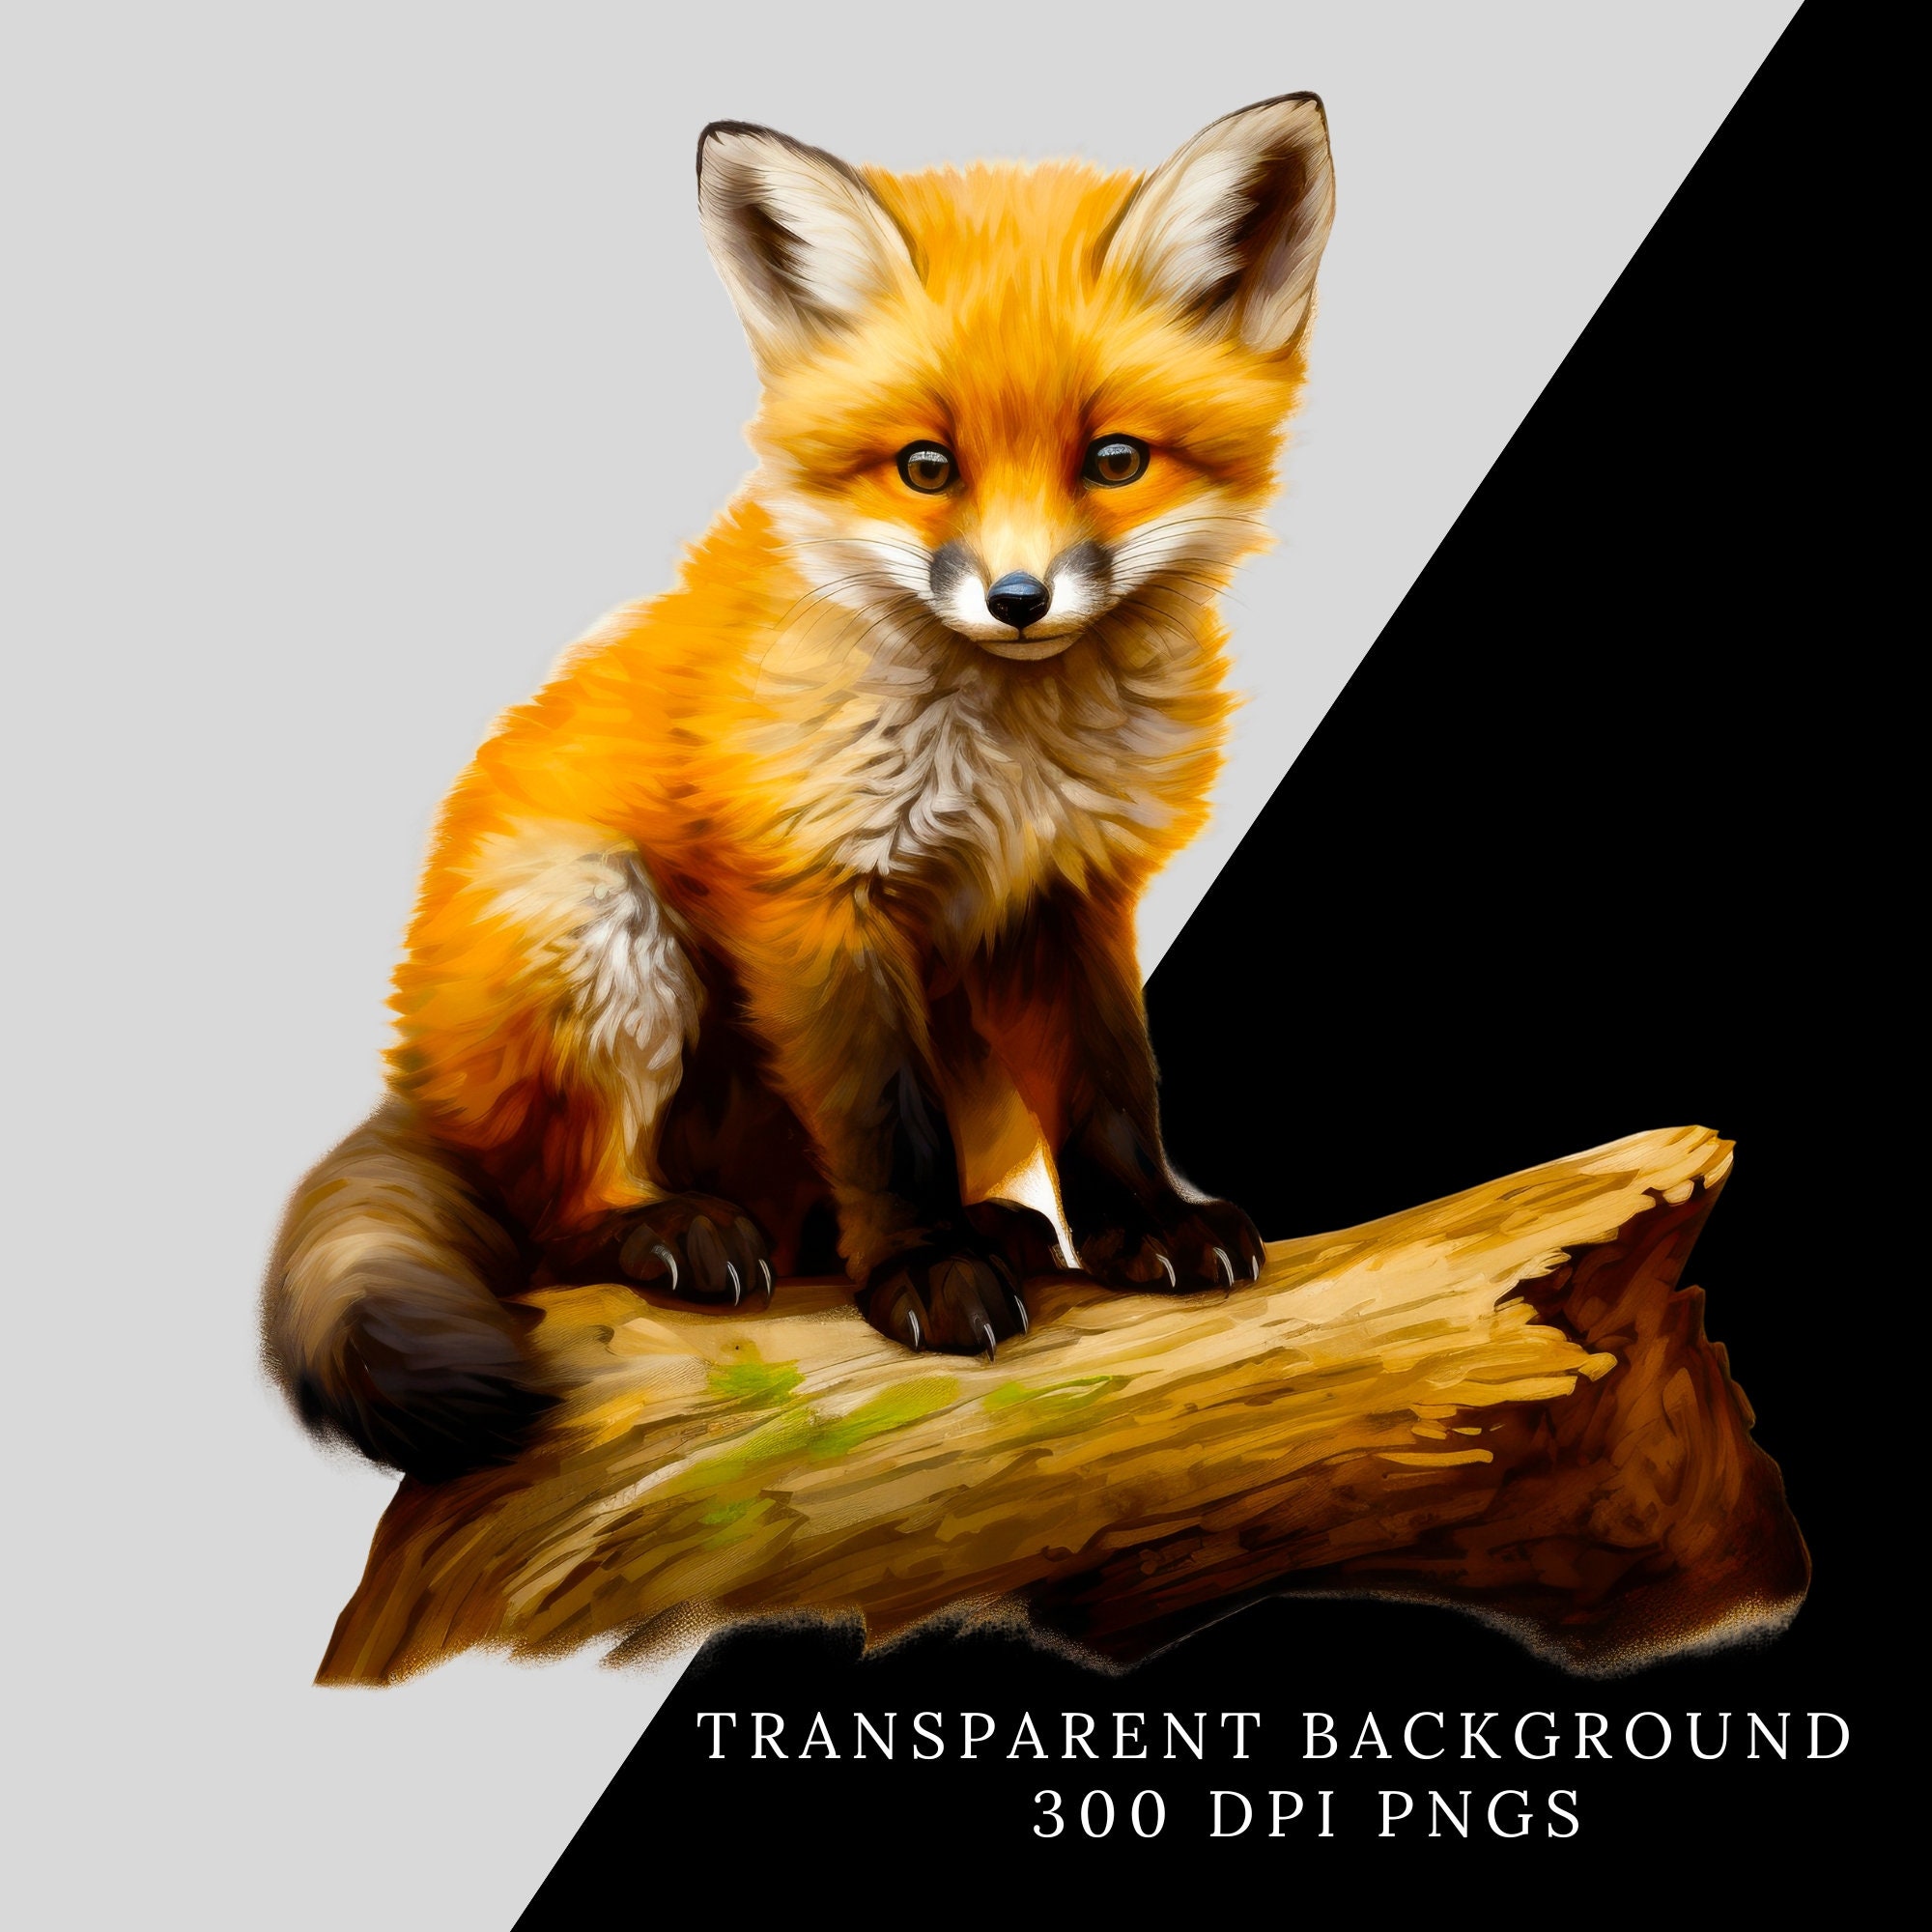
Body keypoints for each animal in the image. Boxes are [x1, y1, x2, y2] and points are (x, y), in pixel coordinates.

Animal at [264, 95, 1336, 1482]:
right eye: (926, 468)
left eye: (1114, 460)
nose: (1019, 599)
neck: (1007, 757)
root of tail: (422, 1091)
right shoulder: (811, 889)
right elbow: (882, 1121)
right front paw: (924, 1272)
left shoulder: (1066, 893)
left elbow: (1109, 1087)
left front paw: (1143, 1225)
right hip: (596, 927)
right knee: (554, 1217)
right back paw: (675, 1229)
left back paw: (972, 1227)